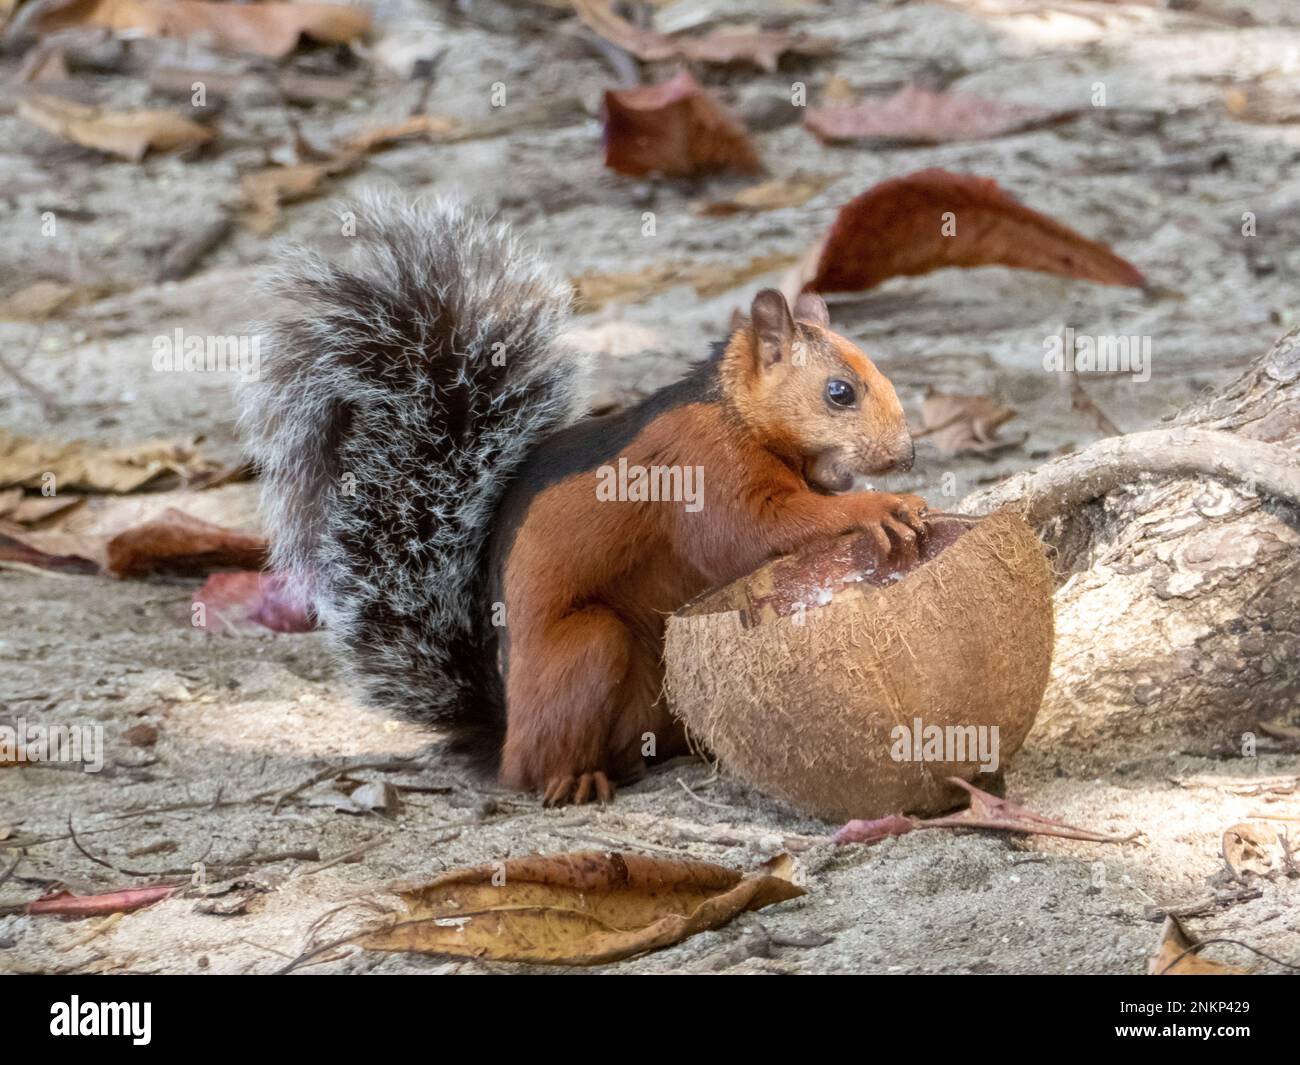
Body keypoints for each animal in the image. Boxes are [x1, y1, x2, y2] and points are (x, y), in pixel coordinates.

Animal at [240, 195, 928, 806]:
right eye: (839, 392)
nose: (906, 455)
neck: (732, 411)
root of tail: (505, 736)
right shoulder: (701, 465)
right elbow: (750, 533)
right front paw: (876, 509)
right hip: (586, 651)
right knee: (547, 760)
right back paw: (574, 780)